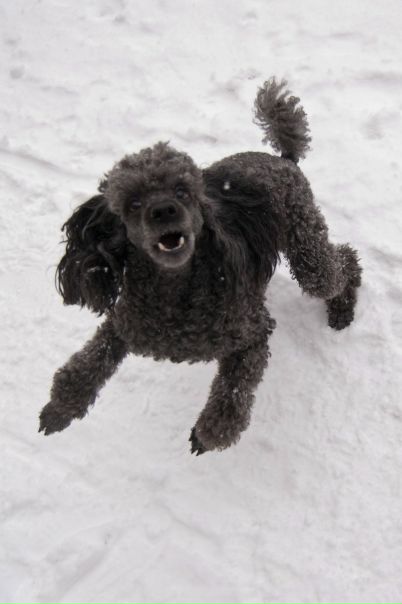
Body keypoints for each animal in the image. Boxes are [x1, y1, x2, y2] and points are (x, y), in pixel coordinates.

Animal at [39, 78, 362, 454]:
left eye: (183, 191)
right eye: (133, 202)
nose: (164, 210)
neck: (176, 291)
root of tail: (284, 160)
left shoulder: (253, 334)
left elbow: (233, 394)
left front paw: (208, 434)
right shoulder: (123, 326)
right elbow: (87, 362)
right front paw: (60, 408)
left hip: (306, 245)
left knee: (341, 264)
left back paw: (342, 309)